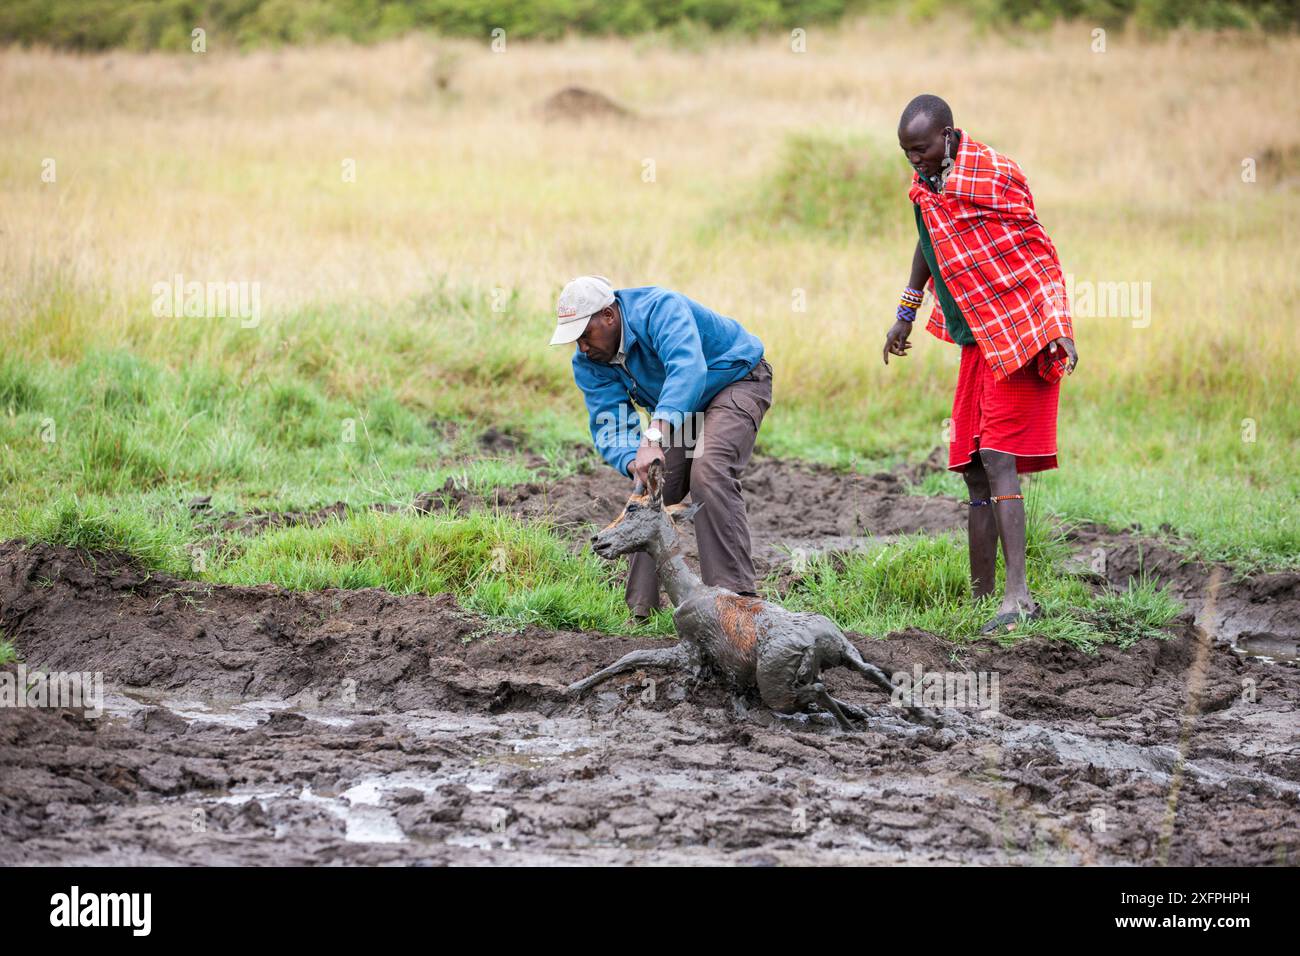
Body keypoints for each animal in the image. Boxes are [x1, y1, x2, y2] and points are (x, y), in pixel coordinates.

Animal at [567, 460, 939, 730]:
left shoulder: (691, 653)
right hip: (844, 651)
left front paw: (571, 688)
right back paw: (924, 717)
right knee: (872, 672)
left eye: (631, 507)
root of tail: (815, 642)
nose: (597, 540)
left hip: (776, 685)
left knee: (816, 692)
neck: (687, 591)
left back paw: (850, 726)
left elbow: (633, 654)